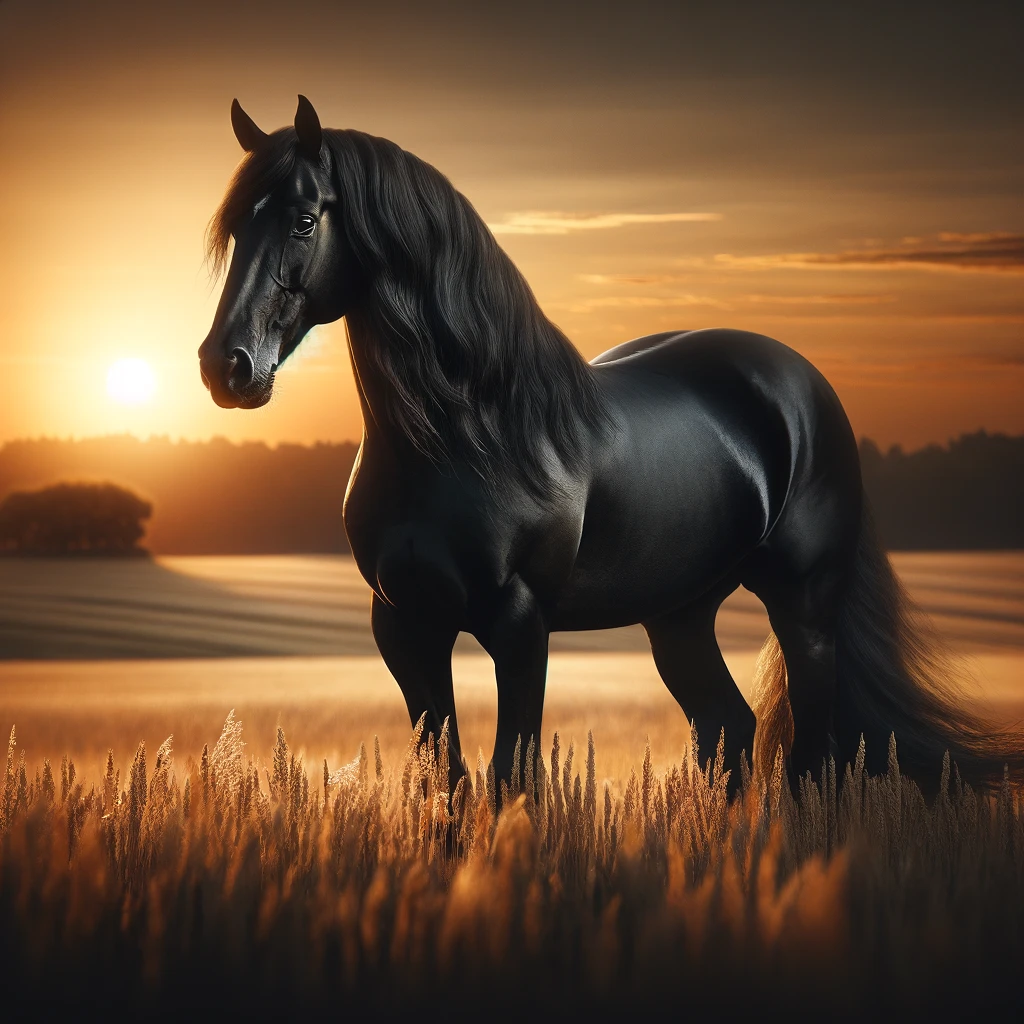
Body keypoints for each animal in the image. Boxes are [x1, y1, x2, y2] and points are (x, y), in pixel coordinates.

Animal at [199, 95, 1022, 796]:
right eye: (236, 227)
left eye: (305, 221)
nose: (226, 367)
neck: (472, 436)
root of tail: (802, 382)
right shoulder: (405, 627)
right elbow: (448, 782)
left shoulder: (520, 625)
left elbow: (513, 776)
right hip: (680, 612)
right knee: (728, 730)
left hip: (806, 608)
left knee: (813, 761)